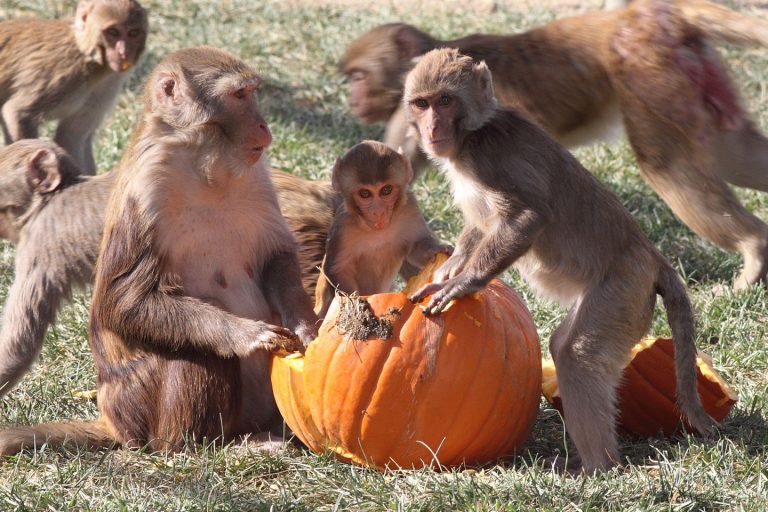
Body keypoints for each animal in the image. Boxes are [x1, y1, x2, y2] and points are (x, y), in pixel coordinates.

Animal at [0, 0, 148, 174]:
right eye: (113, 32)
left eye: (133, 33)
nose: (124, 52)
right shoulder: (61, 71)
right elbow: (17, 113)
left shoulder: (108, 84)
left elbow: (72, 136)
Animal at [0, 47, 319, 456]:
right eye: (239, 95)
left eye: (252, 92)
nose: (264, 126)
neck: (204, 166)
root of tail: (113, 422)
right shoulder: (147, 187)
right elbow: (120, 301)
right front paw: (242, 334)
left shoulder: (258, 175)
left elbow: (276, 257)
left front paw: (305, 324)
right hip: (138, 408)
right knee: (197, 351)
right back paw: (203, 446)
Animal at [313, 140, 451, 319]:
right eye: (365, 193)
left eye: (386, 190)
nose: (378, 212)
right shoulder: (343, 226)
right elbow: (338, 269)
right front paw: (357, 307)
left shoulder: (410, 208)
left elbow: (415, 248)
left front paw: (435, 249)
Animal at [339, 0, 768, 289]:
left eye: (359, 76)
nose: (354, 101)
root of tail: (649, 14)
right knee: (732, 153)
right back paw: (760, 245)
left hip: (651, 74)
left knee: (663, 162)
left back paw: (752, 246)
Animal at [403, 48, 716, 474]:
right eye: (422, 103)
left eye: (446, 101)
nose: (432, 126)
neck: (472, 134)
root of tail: (652, 256)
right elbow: (482, 224)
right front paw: (451, 267)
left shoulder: (487, 158)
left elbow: (527, 218)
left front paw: (463, 283)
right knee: (565, 345)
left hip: (623, 290)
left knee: (576, 355)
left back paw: (600, 468)